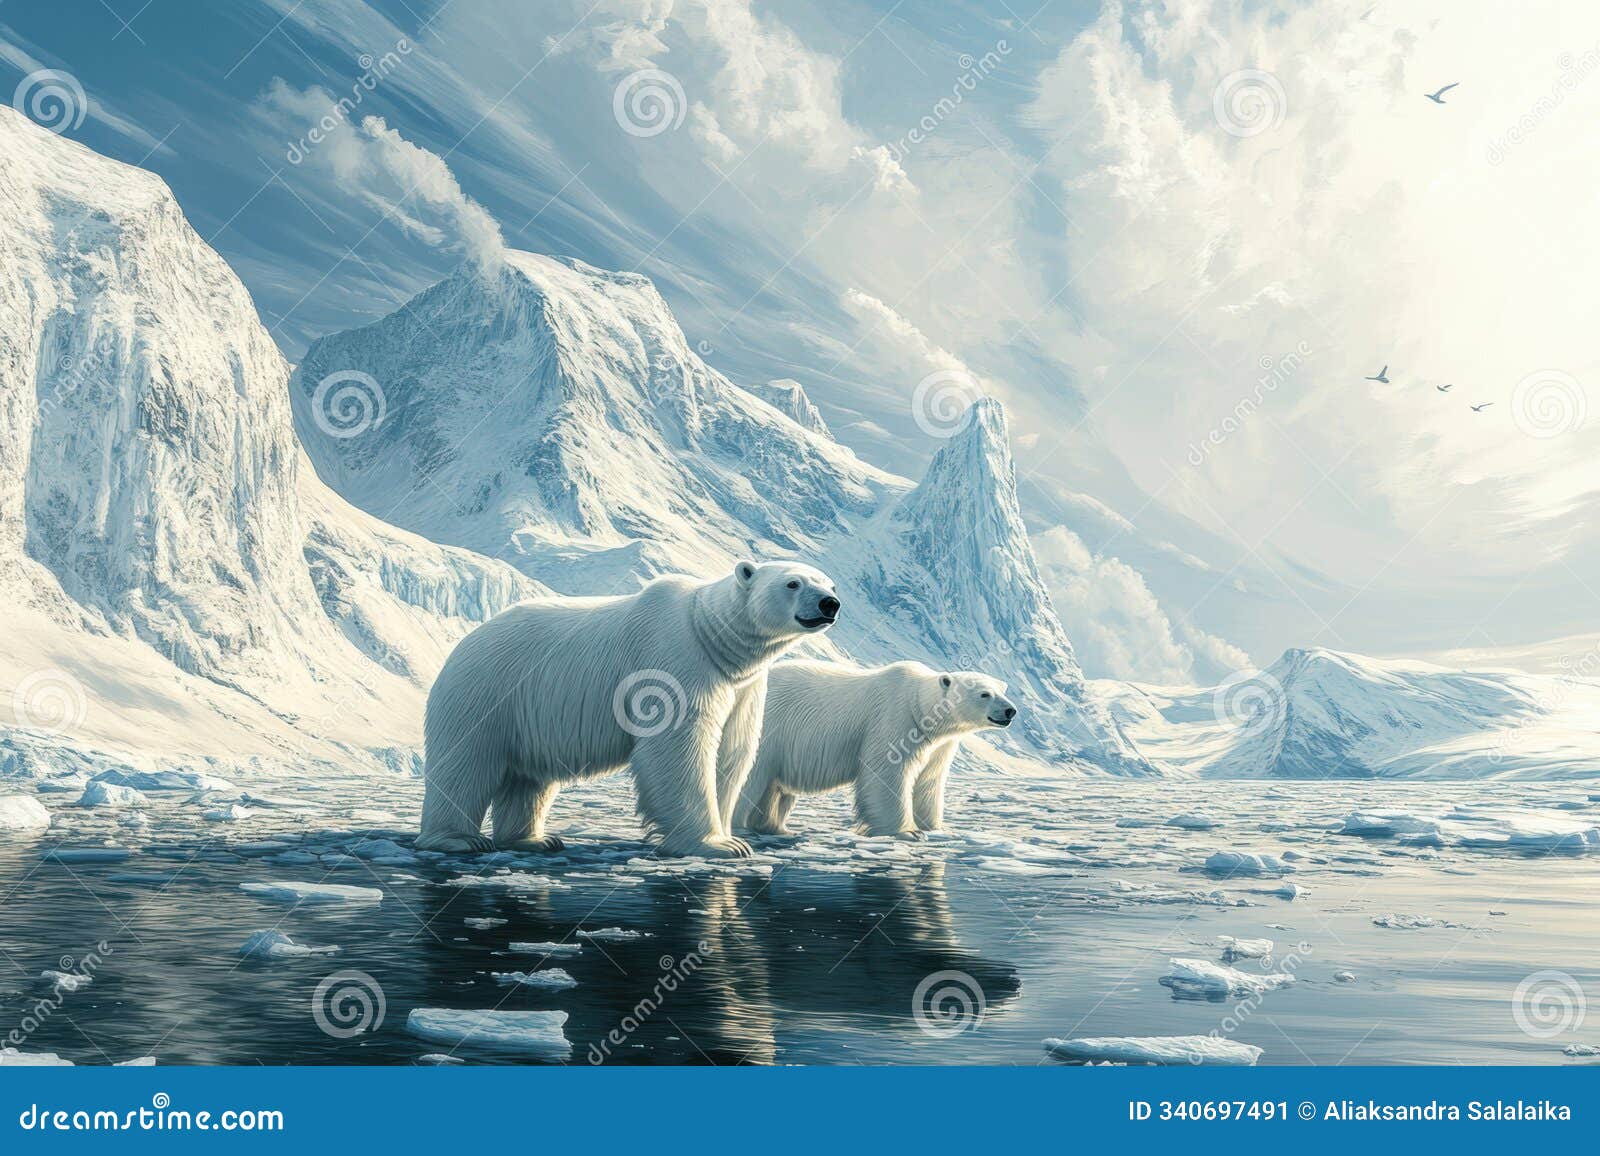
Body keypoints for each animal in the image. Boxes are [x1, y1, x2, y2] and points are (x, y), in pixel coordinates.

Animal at [416, 560, 841, 858]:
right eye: (793, 583)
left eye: (828, 583)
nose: (830, 603)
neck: (711, 637)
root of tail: (465, 641)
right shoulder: (673, 661)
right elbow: (678, 747)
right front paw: (714, 845)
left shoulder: (743, 687)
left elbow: (731, 751)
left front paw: (729, 838)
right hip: (485, 693)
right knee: (466, 764)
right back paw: (458, 840)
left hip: (527, 712)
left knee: (530, 779)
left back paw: (534, 840)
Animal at [727, 660, 1017, 839]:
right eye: (984, 694)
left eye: (1002, 690)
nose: (1010, 710)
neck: (919, 708)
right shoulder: (894, 719)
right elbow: (887, 773)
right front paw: (907, 832)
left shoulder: (939, 745)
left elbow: (929, 780)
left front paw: (934, 827)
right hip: (769, 725)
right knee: (750, 774)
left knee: (775, 788)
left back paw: (775, 828)